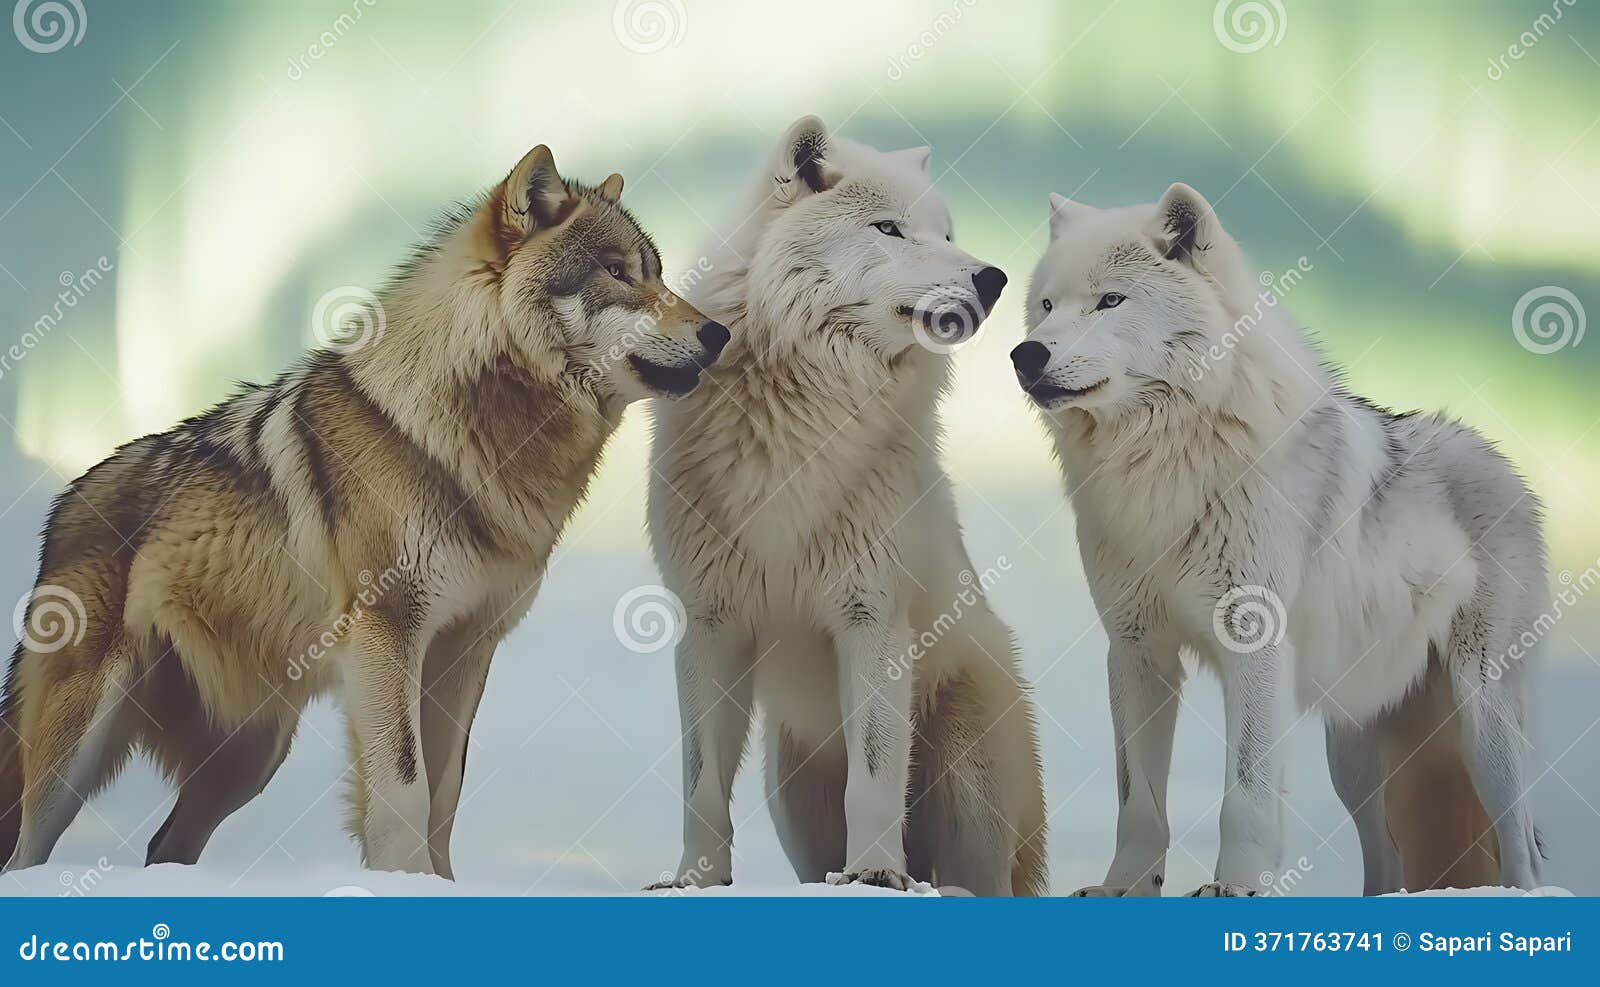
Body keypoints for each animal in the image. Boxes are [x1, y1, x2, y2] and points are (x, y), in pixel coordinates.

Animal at [0, 144, 729, 876]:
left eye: (657, 273)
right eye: (617, 272)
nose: (720, 332)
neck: (458, 437)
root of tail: (65, 505)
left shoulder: (462, 652)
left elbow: (444, 795)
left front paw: (440, 885)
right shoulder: (387, 634)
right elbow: (404, 791)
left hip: (251, 755)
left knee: (163, 846)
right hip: (79, 751)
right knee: (27, 853)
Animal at [646, 116, 1047, 896]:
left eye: (947, 232)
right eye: (889, 229)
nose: (993, 278)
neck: (803, 416)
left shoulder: (873, 617)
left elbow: (874, 778)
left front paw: (873, 875)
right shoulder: (709, 624)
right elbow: (701, 786)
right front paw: (692, 882)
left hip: (968, 768)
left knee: (975, 878)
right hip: (792, 787)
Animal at [1013, 183, 1547, 895]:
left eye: (1110, 301)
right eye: (1046, 306)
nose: (1026, 354)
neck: (1162, 461)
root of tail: (1505, 464)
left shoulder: (1255, 646)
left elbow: (1245, 794)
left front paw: (1236, 885)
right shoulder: (1136, 652)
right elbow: (1140, 802)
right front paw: (1121, 888)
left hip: (1482, 720)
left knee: (1524, 851)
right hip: (1353, 755)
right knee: (1387, 860)